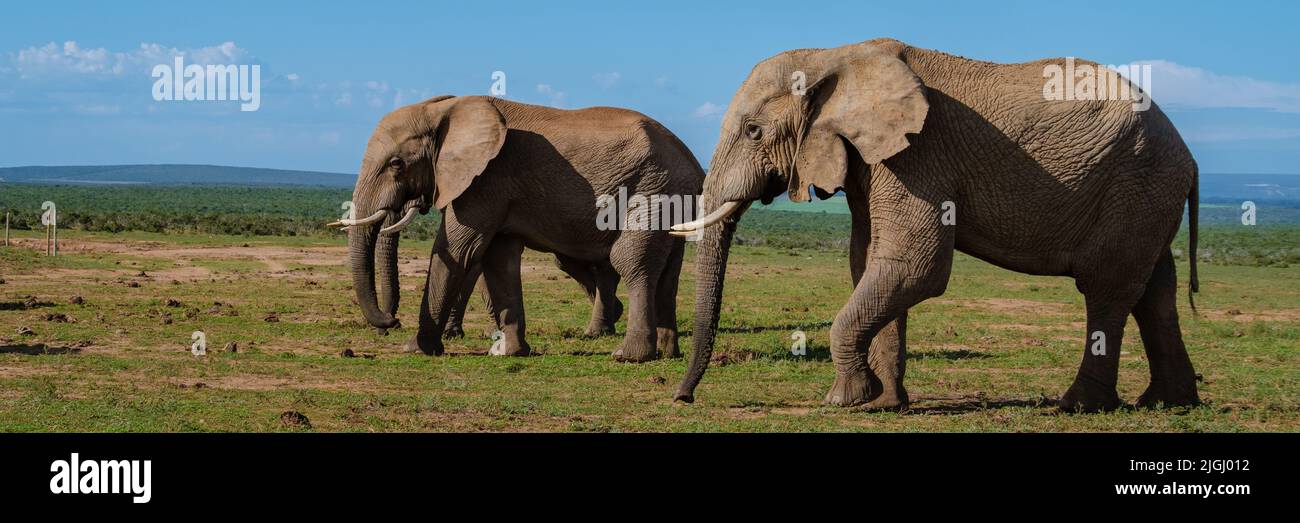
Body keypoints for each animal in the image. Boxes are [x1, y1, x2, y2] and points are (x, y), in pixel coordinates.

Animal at [340, 95, 702, 361]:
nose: (390, 322)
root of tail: (694, 163)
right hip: (672, 198)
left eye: (396, 164)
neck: (445, 108)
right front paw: (511, 352)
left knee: (632, 262)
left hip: (652, 190)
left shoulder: (486, 180)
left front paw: (416, 350)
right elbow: (499, 259)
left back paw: (629, 355)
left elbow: (458, 249)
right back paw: (668, 353)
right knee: (667, 273)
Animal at [670, 39, 1201, 412]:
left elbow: (914, 265)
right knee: (1155, 292)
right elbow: (869, 262)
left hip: (1137, 182)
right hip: (1149, 194)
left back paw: (1078, 406)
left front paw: (845, 400)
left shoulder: (919, 154)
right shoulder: (873, 158)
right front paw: (883, 404)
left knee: (1106, 288)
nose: (683, 397)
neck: (833, 57)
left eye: (753, 131)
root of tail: (1191, 159)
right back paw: (1168, 403)